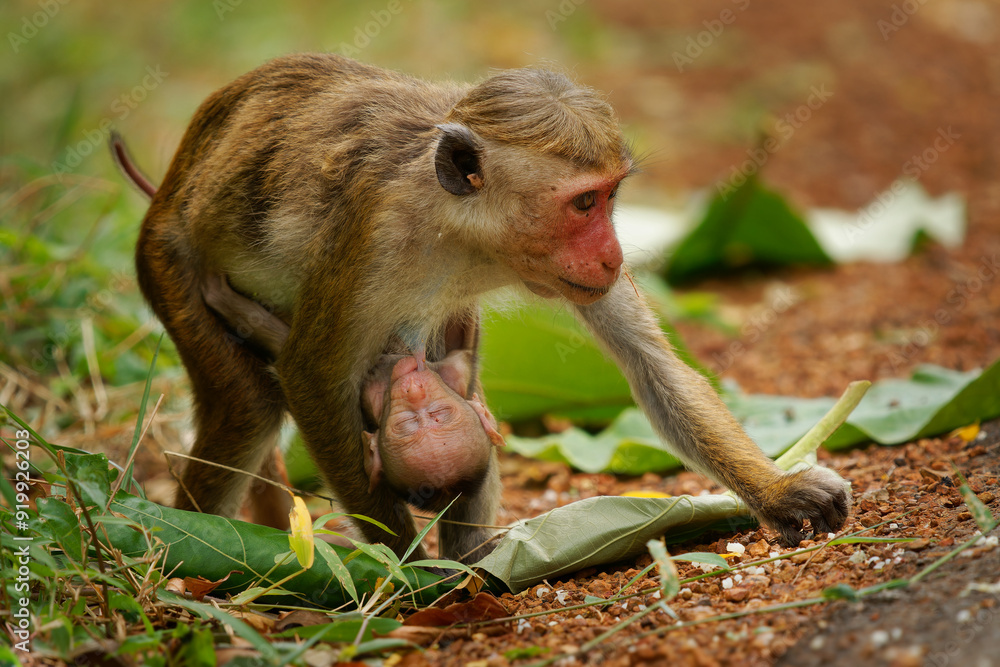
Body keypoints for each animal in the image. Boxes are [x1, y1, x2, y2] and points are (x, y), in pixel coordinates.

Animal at [127, 54, 849, 563]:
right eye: (584, 203)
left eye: (612, 196)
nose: (613, 253)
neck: (460, 228)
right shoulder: (372, 231)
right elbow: (309, 375)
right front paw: (409, 570)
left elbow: (653, 369)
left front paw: (779, 492)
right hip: (165, 262)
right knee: (251, 405)